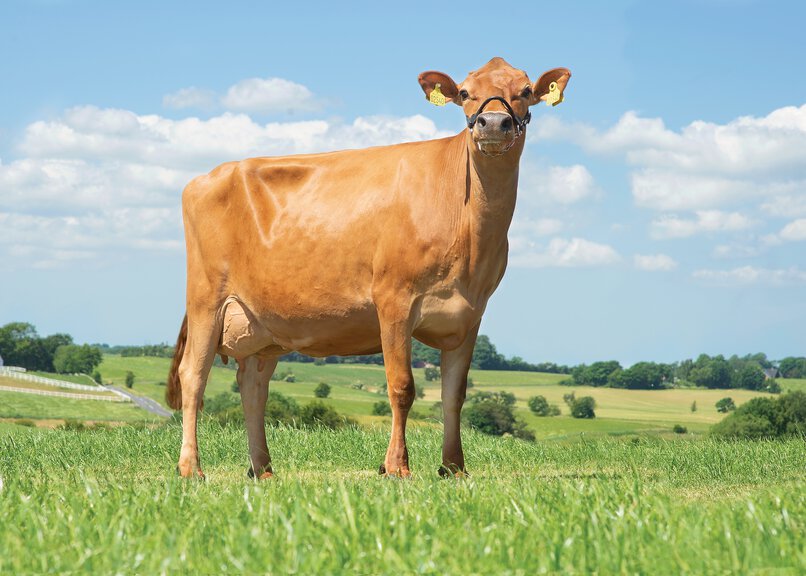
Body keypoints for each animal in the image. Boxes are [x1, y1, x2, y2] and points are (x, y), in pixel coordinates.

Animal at [166, 57, 571, 479]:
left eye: (525, 90)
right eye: (464, 92)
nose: (492, 123)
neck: (469, 229)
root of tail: (207, 175)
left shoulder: (471, 313)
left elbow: (454, 395)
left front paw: (454, 468)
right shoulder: (393, 300)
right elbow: (402, 387)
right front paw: (396, 466)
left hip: (263, 323)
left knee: (252, 387)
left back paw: (263, 469)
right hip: (206, 299)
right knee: (193, 377)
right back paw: (191, 467)